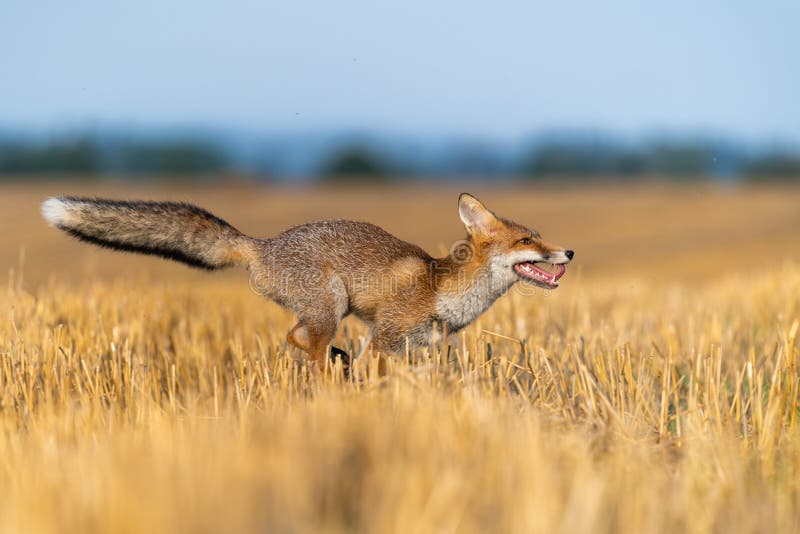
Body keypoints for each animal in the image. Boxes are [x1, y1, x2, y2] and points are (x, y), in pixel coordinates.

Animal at [41, 193, 573, 369]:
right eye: (527, 239)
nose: (568, 253)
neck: (444, 290)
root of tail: (262, 244)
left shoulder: (409, 346)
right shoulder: (385, 336)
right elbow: (376, 370)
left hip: (322, 313)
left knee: (293, 337)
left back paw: (336, 365)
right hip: (330, 306)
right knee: (307, 350)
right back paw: (328, 380)